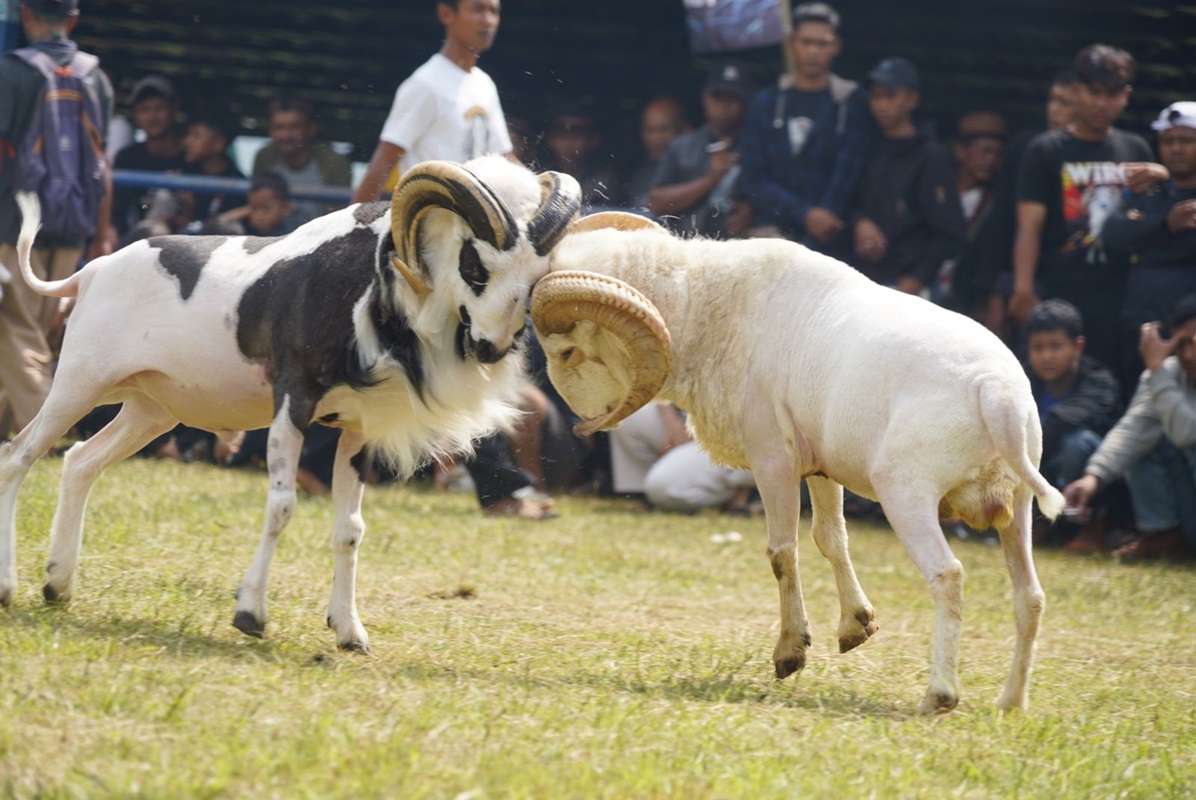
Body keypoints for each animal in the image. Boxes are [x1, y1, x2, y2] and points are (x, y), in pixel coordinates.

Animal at [0, 156, 580, 653]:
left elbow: (350, 529)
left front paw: (349, 631)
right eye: (474, 264)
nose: (492, 345)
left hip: (149, 409)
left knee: (79, 463)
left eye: (535, 277)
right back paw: (10, 587)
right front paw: (250, 614)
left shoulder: (357, 429)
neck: (365, 282)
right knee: (19, 457)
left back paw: (58, 584)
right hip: (78, 384)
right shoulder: (292, 403)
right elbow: (282, 505)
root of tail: (91, 271)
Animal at [529, 212, 1063, 713]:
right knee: (1031, 596)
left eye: (567, 351)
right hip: (1017, 504)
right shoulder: (820, 465)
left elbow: (782, 553)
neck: (709, 310)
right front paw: (855, 627)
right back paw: (1011, 702)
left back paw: (940, 695)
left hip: (907, 494)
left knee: (948, 576)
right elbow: (831, 539)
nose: (583, 427)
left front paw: (790, 654)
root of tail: (996, 392)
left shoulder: (773, 459)